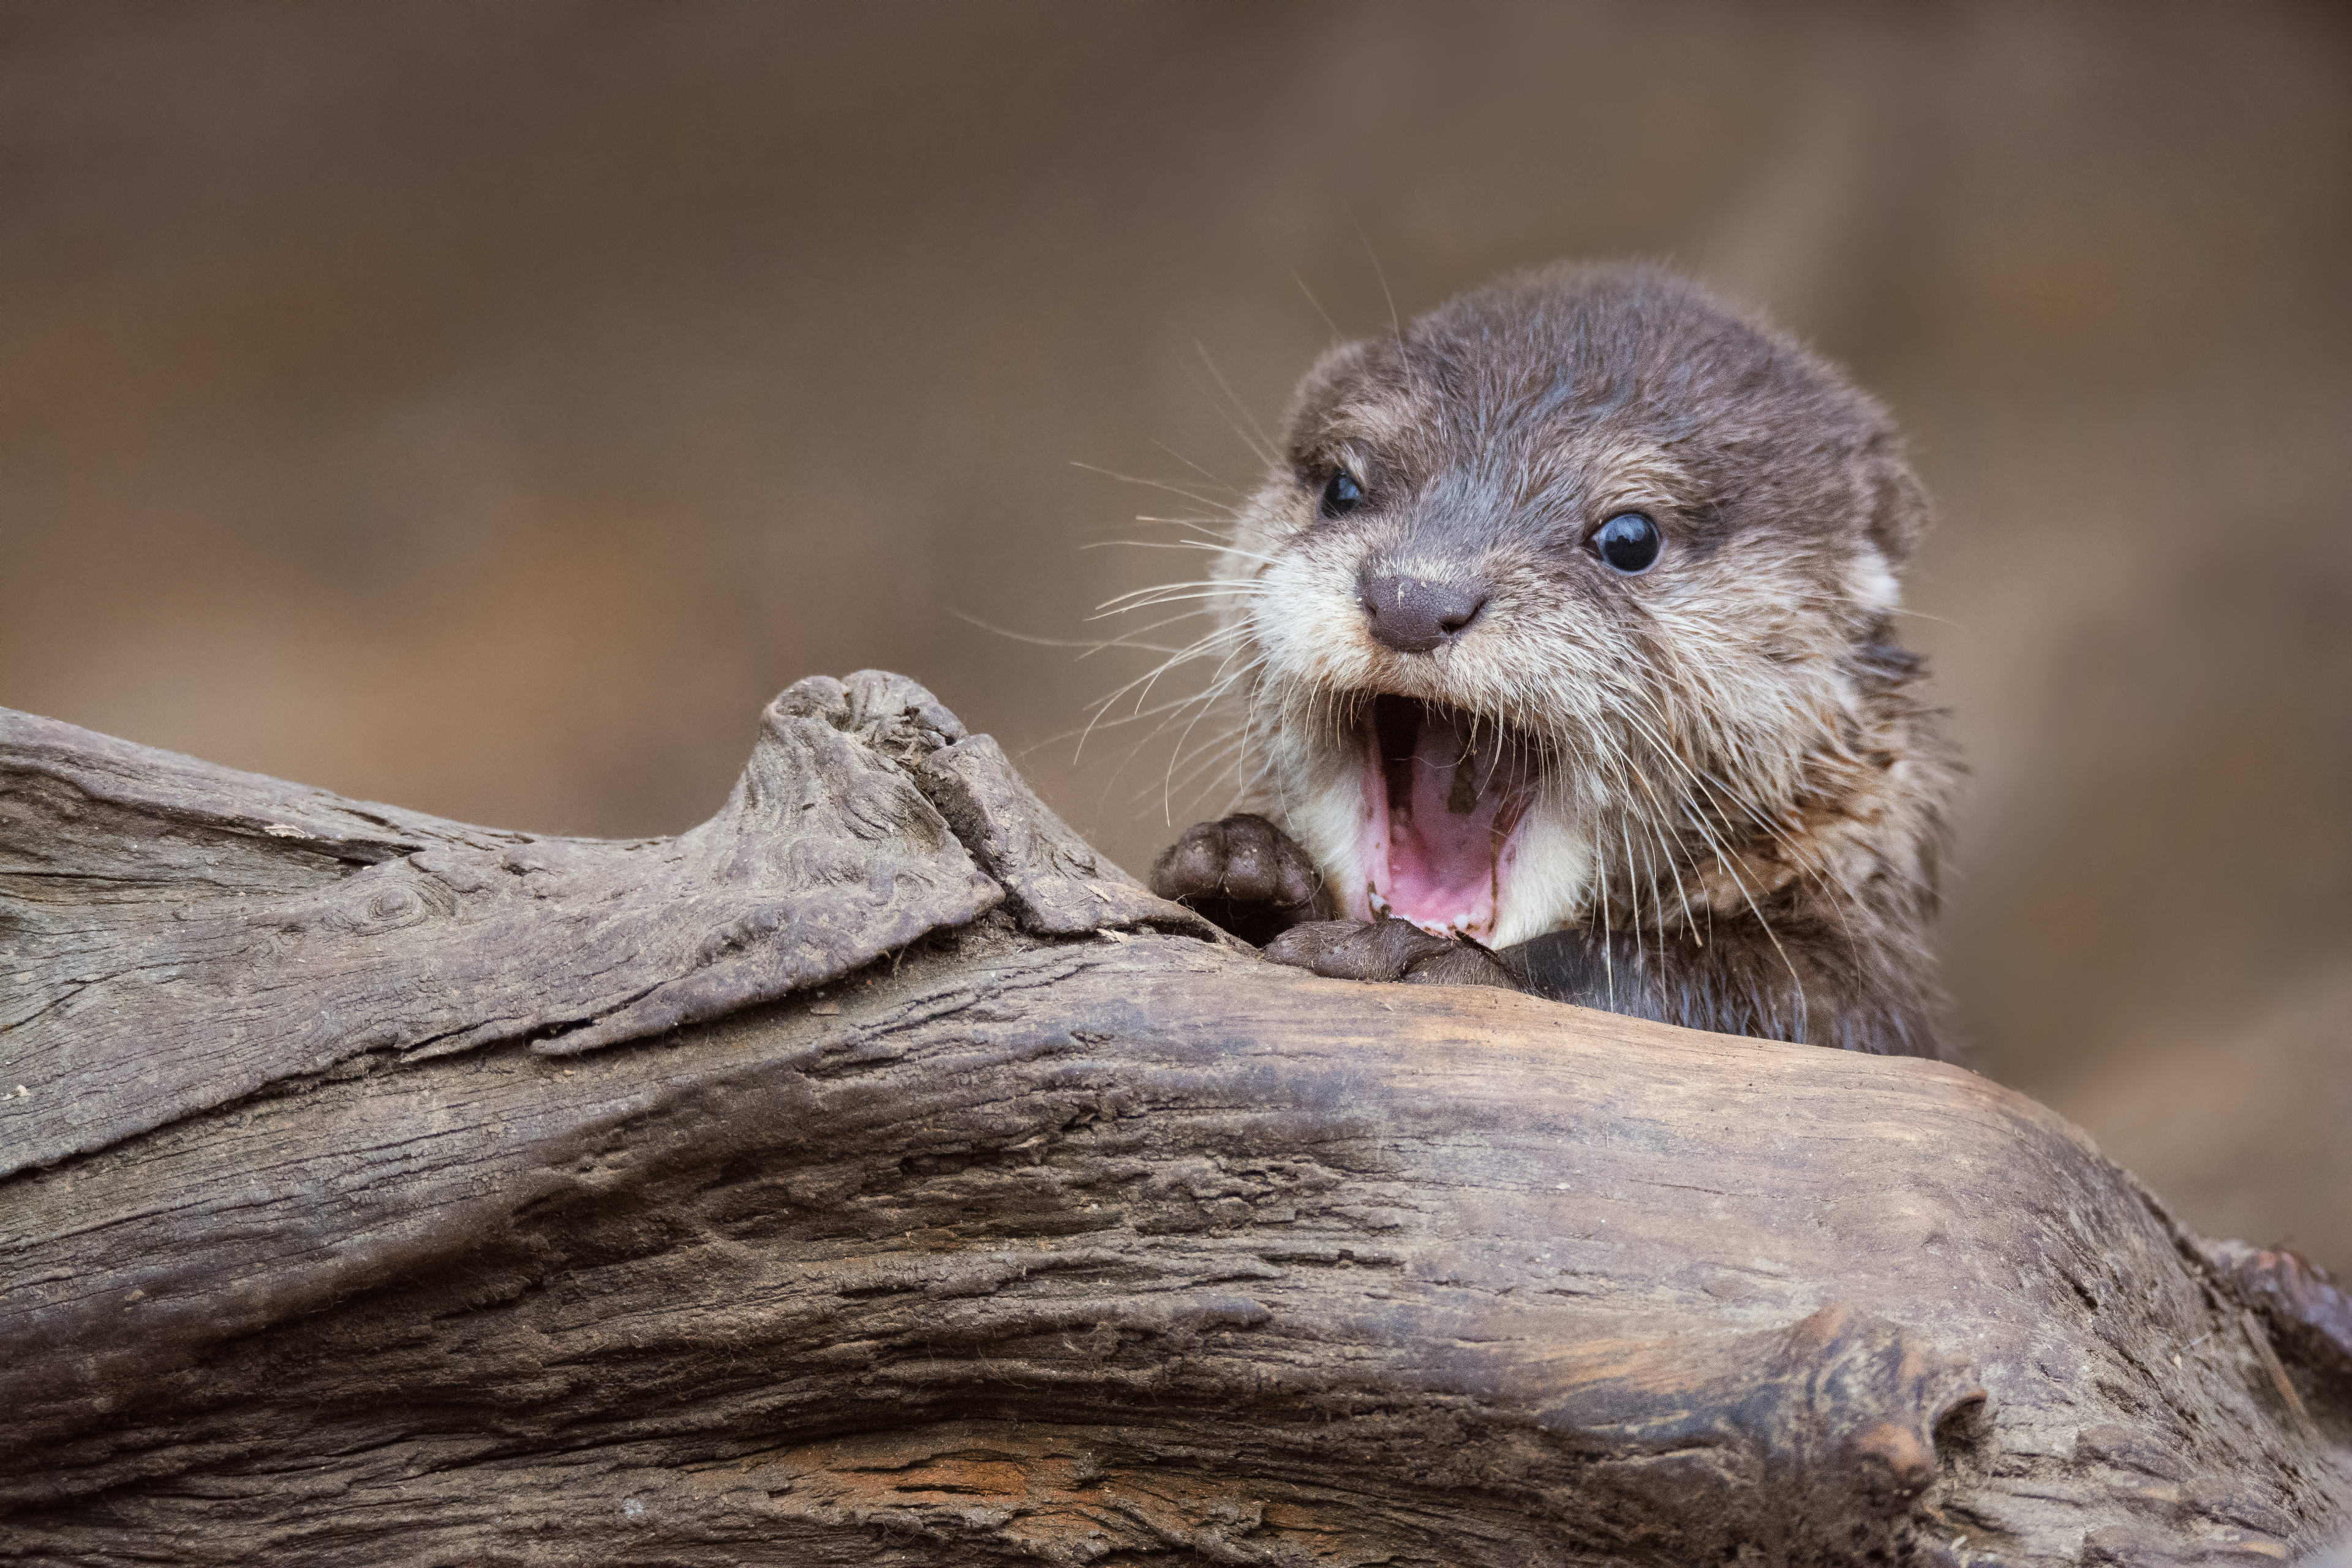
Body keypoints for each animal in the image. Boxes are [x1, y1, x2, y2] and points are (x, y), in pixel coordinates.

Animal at [1148, 263, 1960, 1058]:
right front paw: (1244, 865)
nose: (1413, 596)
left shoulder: (1863, 988)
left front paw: (1421, 959)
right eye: (1343, 490)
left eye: (1630, 538)